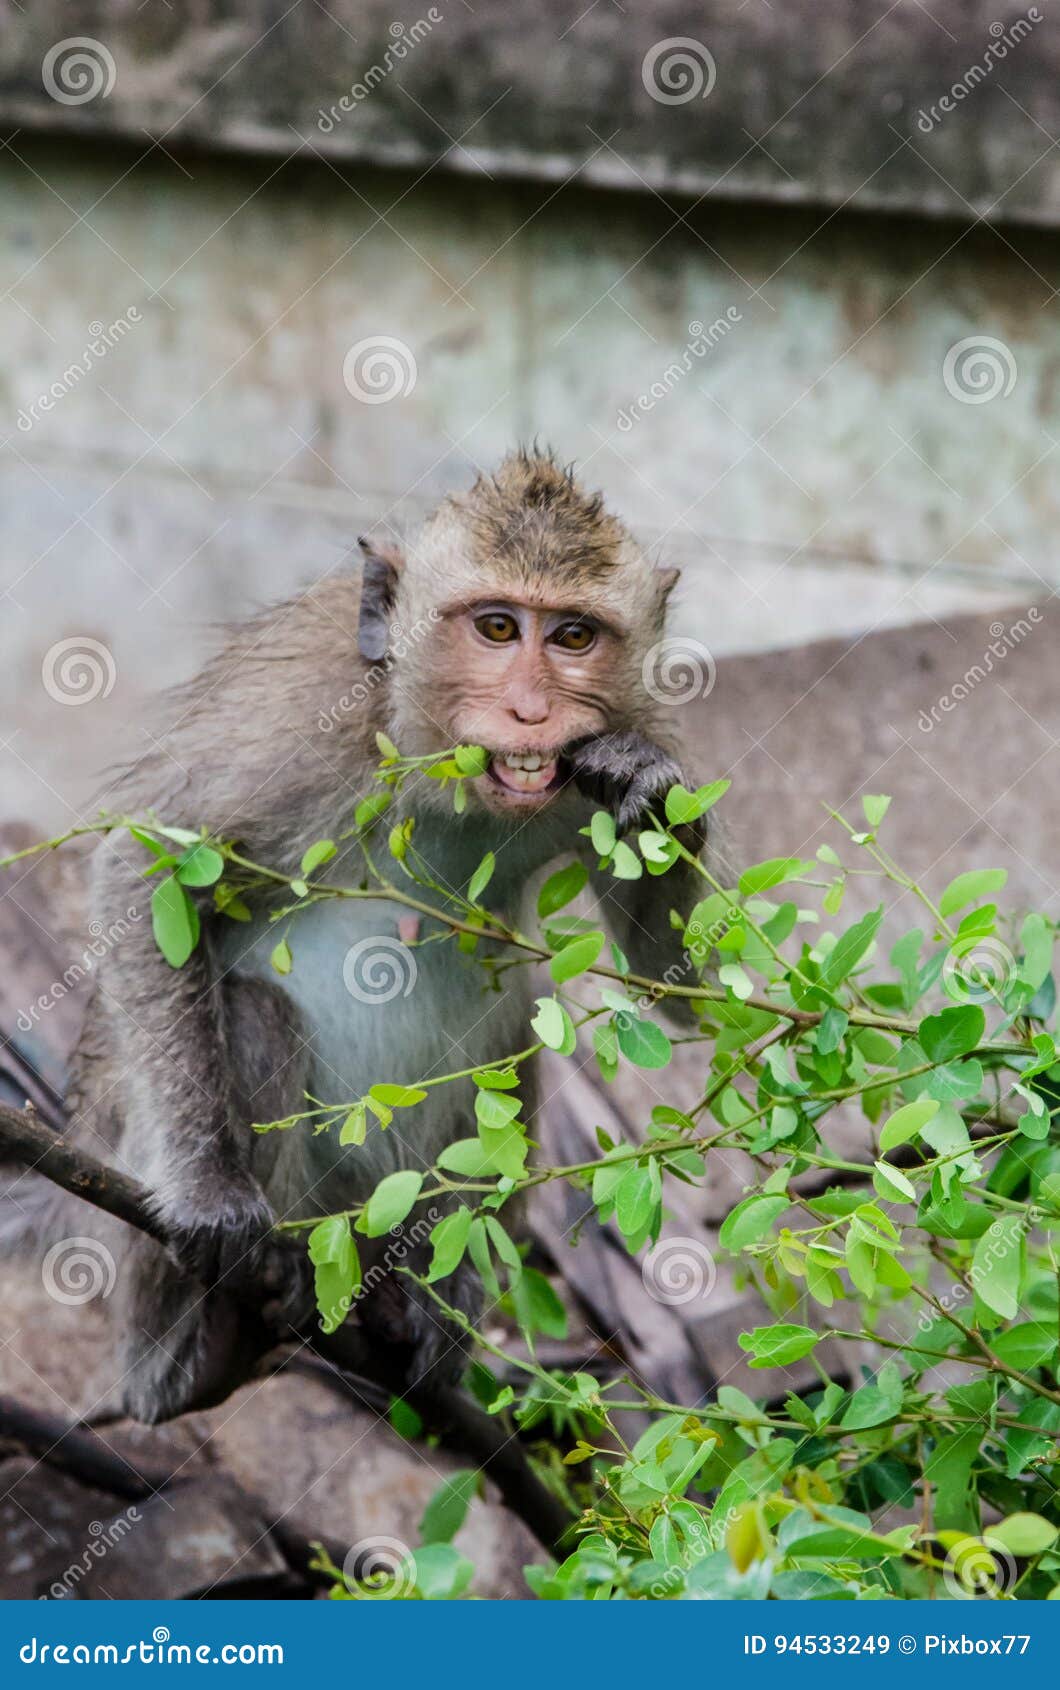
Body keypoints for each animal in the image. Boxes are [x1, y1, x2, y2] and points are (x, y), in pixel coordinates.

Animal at [14, 448, 716, 1425]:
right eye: (497, 628)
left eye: (574, 637)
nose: (532, 711)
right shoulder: (301, 719)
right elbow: (146, 869)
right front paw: (211, 1195)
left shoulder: (640, 716)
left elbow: (675, 989)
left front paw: (643, 786)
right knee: (255, 1019)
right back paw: (191, 1352)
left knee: (509, 1037)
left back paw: (426, 1316)